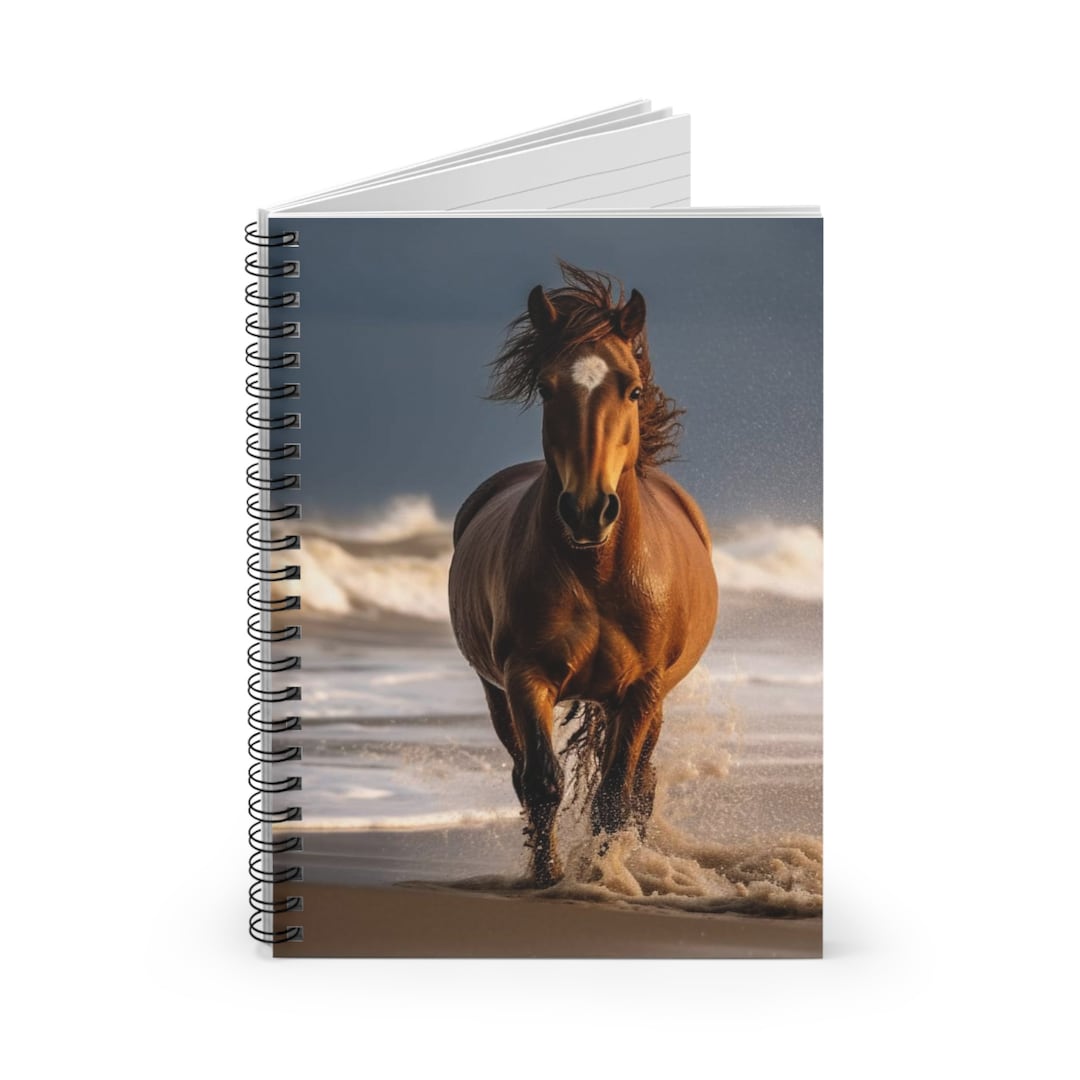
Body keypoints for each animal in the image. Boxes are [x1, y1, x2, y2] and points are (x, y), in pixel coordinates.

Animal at [448, 262, 718, 886]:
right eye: (547, 388)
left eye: (633, 388)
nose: (588, 511)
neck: (598, 572)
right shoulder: (525, 678)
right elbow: (542, 783)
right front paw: (548, 877)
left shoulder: (642, 688)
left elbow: (614, 793)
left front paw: (603, 874)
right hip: (497, 694)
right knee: (524, 772)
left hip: (651, 701)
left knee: (641, 782)